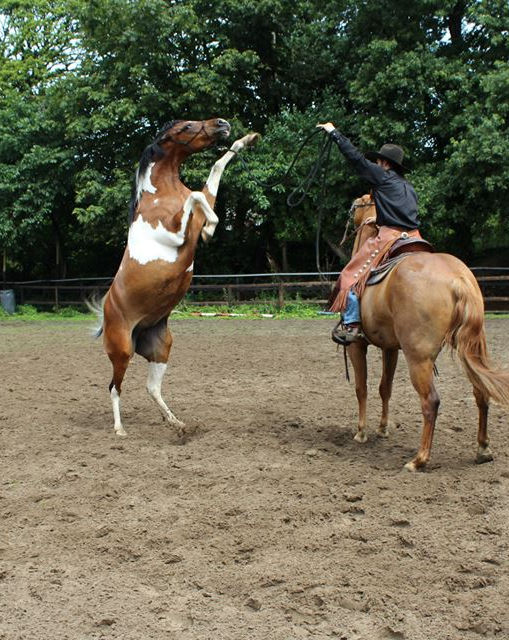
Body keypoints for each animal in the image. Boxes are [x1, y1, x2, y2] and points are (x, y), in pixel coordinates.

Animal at [91, 118, 259, 437]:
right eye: (188, 126)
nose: (222, 124)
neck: (161, 195)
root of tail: (107, 313)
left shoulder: (198, 207)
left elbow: (215, 169)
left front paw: (246, 140)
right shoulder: (176, 232)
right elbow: (196, 197)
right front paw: (211, 229)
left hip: (161, 348)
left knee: (152, 387)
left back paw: (176, 423)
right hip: (122, 352)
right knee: (114, 388)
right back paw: (119, 430)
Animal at [342, 194, 509, 471]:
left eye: (356, 206)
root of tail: (458, 279)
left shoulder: (357, 345)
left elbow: (361, 387)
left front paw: (361, 432)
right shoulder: (390, 347)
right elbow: (385, 387)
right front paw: (383, 428)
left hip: (418, 358)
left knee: (430, 401)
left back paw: (419, 459)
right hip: (470, 348)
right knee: (481, 392)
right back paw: (483, 449)